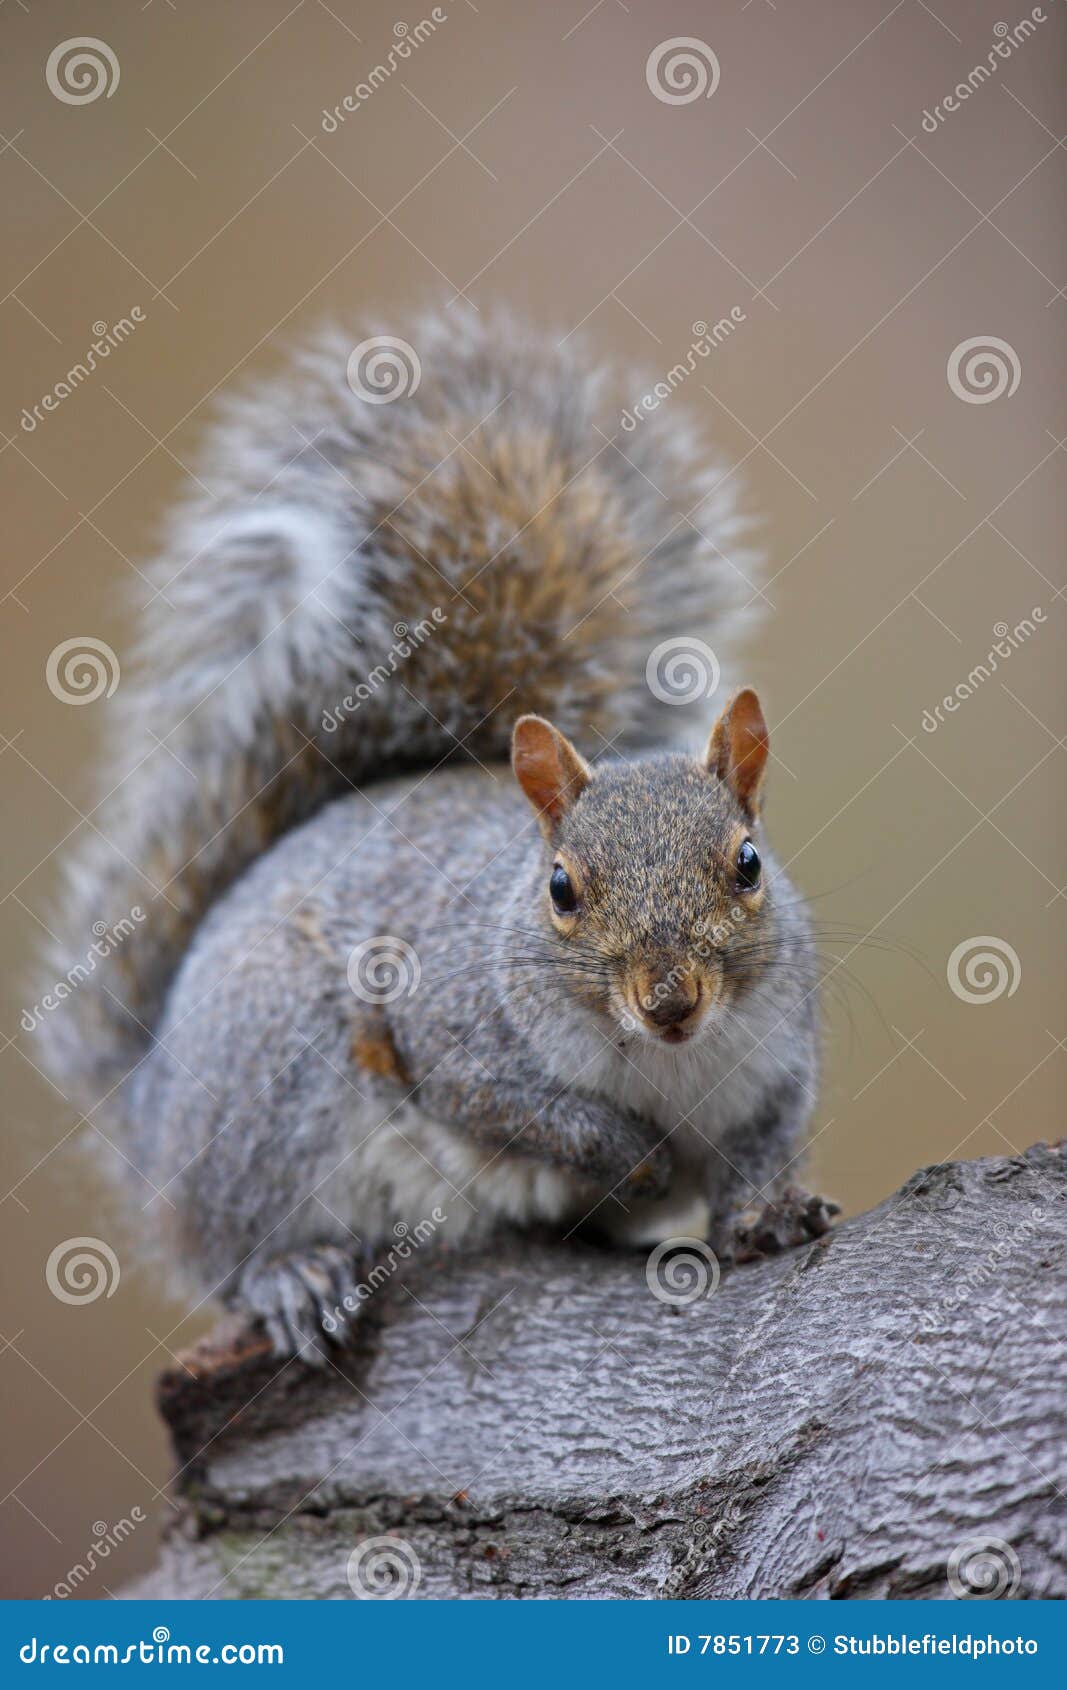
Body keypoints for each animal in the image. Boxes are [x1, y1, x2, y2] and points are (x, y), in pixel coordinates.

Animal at [41, 311, 834, 1362]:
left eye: (747, 864)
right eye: (560, 888)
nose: (670, 1003)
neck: (666, 1061)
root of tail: (149, 1118)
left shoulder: (777, 1060)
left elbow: (762, 1148)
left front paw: (761, 1214)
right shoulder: (451, 1032)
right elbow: (518, 1111)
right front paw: (633, 1159)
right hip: (271, 1077)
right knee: (233, 1250)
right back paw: (289, 1274)